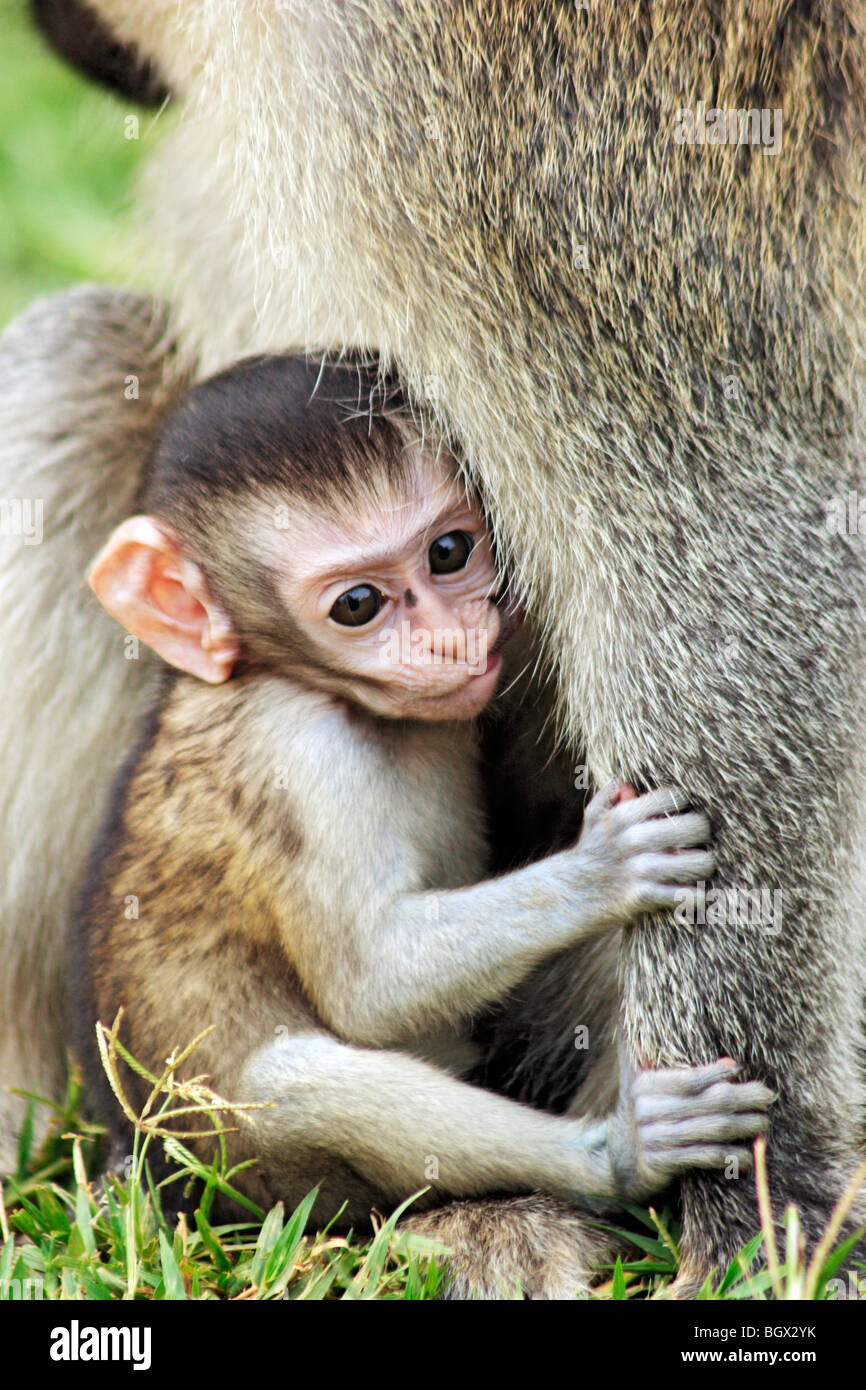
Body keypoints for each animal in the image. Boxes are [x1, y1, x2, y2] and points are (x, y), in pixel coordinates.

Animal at [74, 353, 772, 1283]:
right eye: (358, 605)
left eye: (449, 552)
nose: (450, 639)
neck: (292, 681)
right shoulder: (304, 757)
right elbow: (370, 986)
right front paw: (603, 872)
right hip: (265, 1184)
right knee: (294, 1083)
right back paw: (620, 1155)